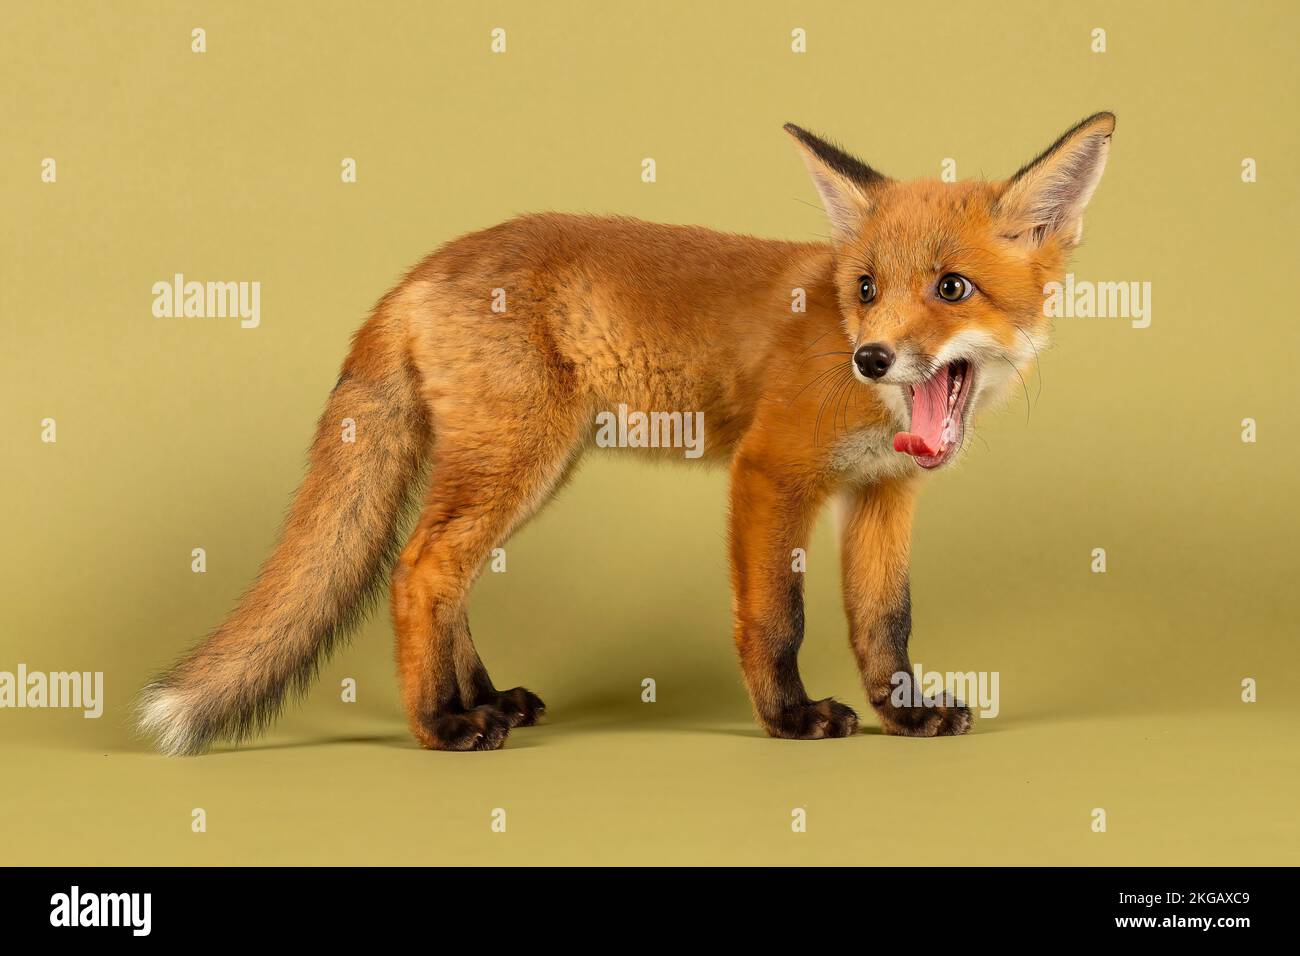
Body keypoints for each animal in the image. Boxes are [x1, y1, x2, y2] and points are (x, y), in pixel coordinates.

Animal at [138, 112, 1115, 754]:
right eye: (867, 288)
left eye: (951, 288)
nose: (872, 357)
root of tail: (417, 272)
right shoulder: (770, 474)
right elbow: (778, 618)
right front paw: (790, 719)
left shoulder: (883, 491)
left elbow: (887, 622)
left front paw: (903, 715)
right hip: (517, 461)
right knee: (419, 570)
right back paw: (442, 723)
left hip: (534, 470)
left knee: (447, 577)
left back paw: (484, 699)